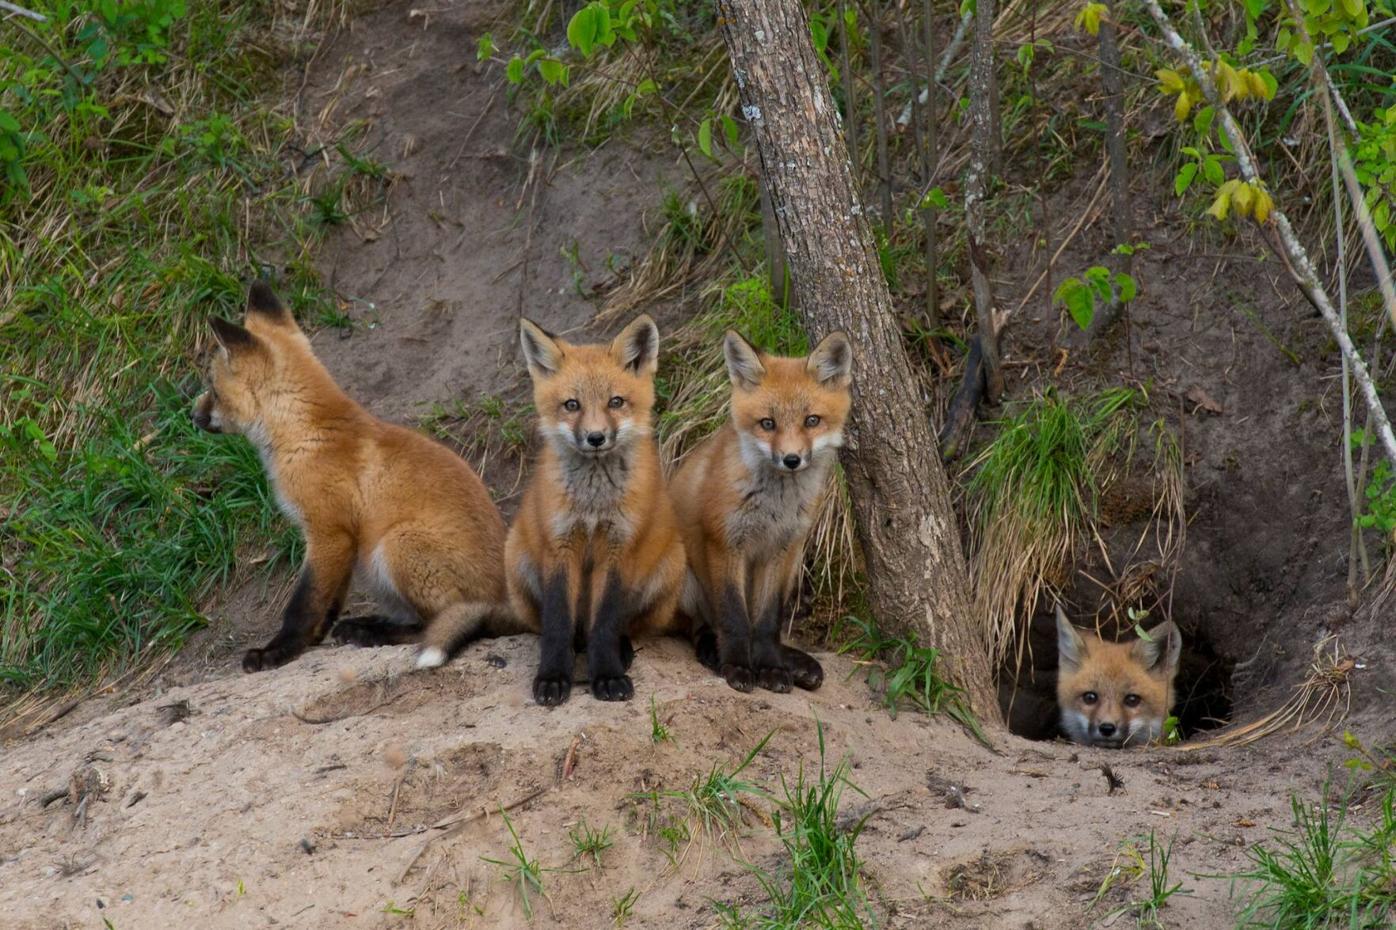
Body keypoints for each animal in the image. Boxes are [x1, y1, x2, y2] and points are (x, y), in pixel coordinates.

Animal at [192, 282, 527, 672]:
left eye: (213, 389)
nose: (191, 415)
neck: (307, 435)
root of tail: (510, 603)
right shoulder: (343, 540)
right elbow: (329, 600)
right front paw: (315, 637)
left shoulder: (328, 532)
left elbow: (303, 604)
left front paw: (279, 651)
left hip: (396, 544)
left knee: (439, 623)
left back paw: (373, 632)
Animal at [506, 314, 686, 706]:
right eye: (571, 405)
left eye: (615, 401)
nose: (595, 437)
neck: (593, 503)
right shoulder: (559, 545)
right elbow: (557, 623)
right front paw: (552, 677)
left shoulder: (620, 548)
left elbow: (605, 624)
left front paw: (607, 675)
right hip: (516, 559)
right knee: (563, 628)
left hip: (669, 569)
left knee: (621, 626)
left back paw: (621, 650)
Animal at [668, 330, 853, 694]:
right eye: (768, 423)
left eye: (812, 421)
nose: (792, 459)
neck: (774, 507)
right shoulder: (725, 544)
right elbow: (735, 619)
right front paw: (739, 666)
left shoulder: (783, 549)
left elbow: (767, 622)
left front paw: (770, 667)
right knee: (698, 625)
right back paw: (713, 651)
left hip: (793, 566)